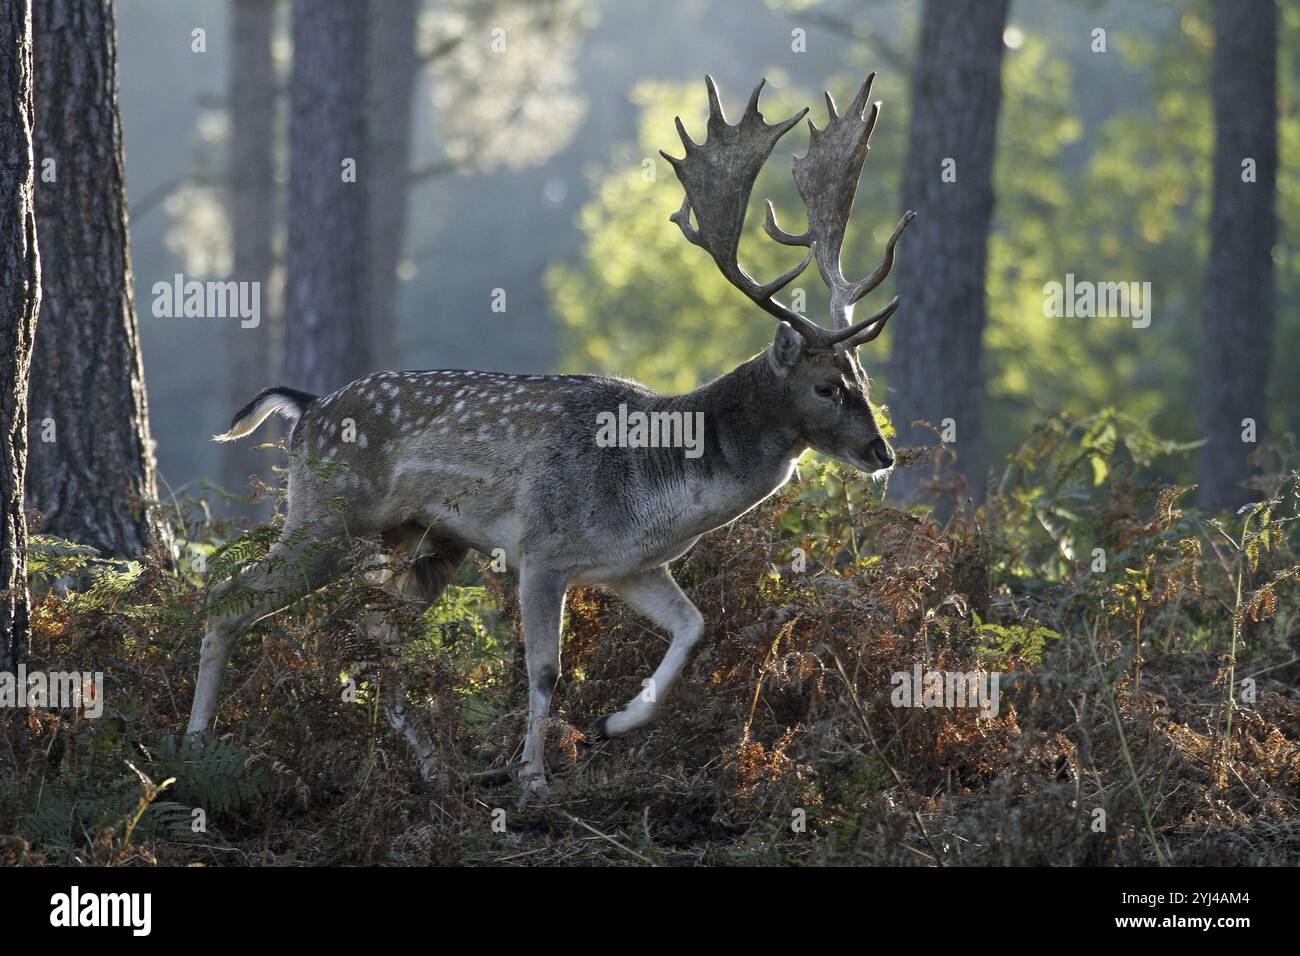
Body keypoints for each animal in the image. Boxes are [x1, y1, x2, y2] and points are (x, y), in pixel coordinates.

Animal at [186, 74, 913, 795]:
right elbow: (543, 670)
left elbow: (696, 626)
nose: (881, 452)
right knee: (229, 599)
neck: (658, 487)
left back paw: (430, 767)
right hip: (327, 516)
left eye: (864, 377)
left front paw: (614, 724)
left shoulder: (631, 566)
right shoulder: (541, 550)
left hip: (426, 541)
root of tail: (305, 408)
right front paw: (533, 780)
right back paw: (193, 748)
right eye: (827, 387)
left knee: (370, 636)